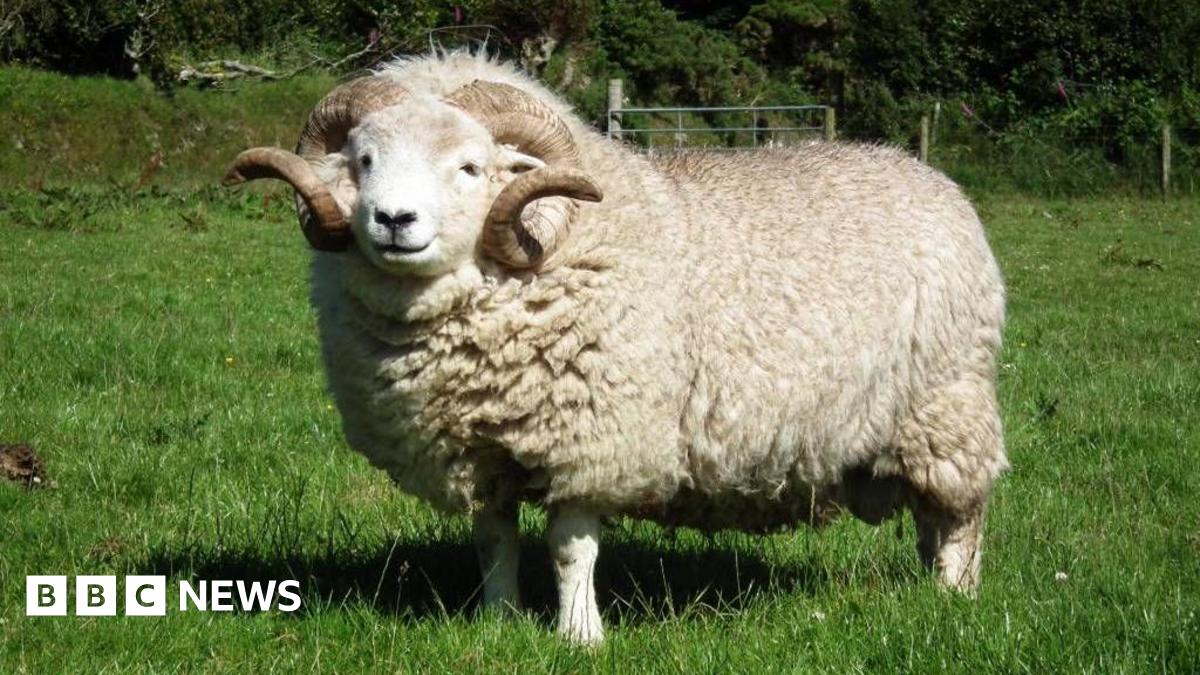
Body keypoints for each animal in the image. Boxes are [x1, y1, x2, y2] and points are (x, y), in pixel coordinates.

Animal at [223, 51, 1007, 645]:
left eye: (471, 167)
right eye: (362, 159)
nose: (393, 219)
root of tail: (926, 174)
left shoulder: (590, 439)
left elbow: (571, 548)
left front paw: (580, 635)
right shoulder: (479, 448)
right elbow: (493, 542)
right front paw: (498, 623)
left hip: (946, 402)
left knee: (961, 513)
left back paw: (954, 601)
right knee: (932, 517)